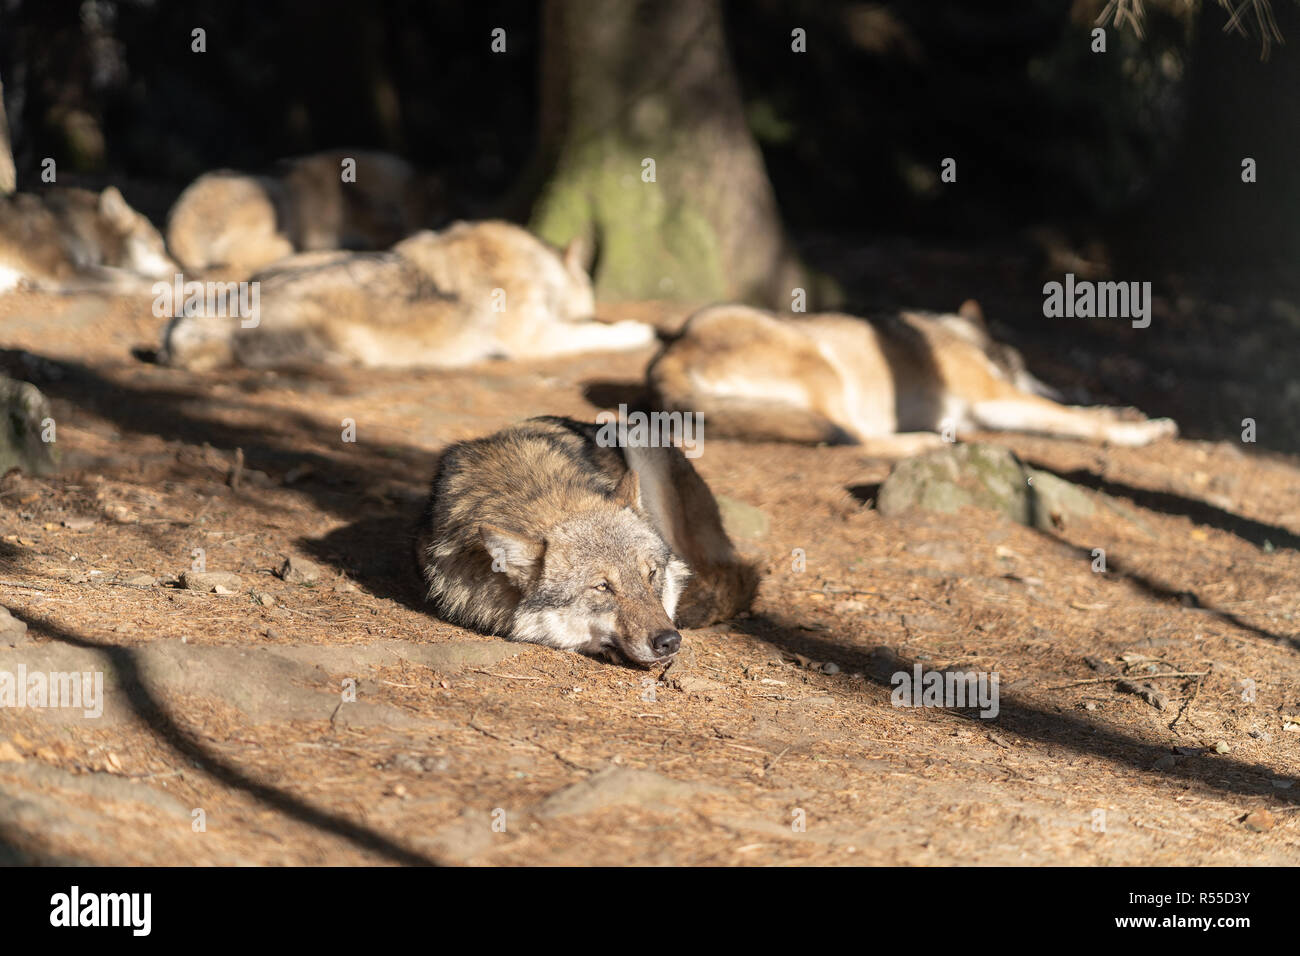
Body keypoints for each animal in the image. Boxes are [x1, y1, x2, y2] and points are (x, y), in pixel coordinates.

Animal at [648, 303, 1177, 454]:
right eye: (1024, 368)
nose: (1054, 383)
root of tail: (672, 350)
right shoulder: (993, 396)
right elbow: (1076, 419)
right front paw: (1137, 431)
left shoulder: (993, 407)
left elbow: (1073, 414)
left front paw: (1127, 413)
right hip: (822, 364)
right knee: (857, 440)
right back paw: (925, 443)